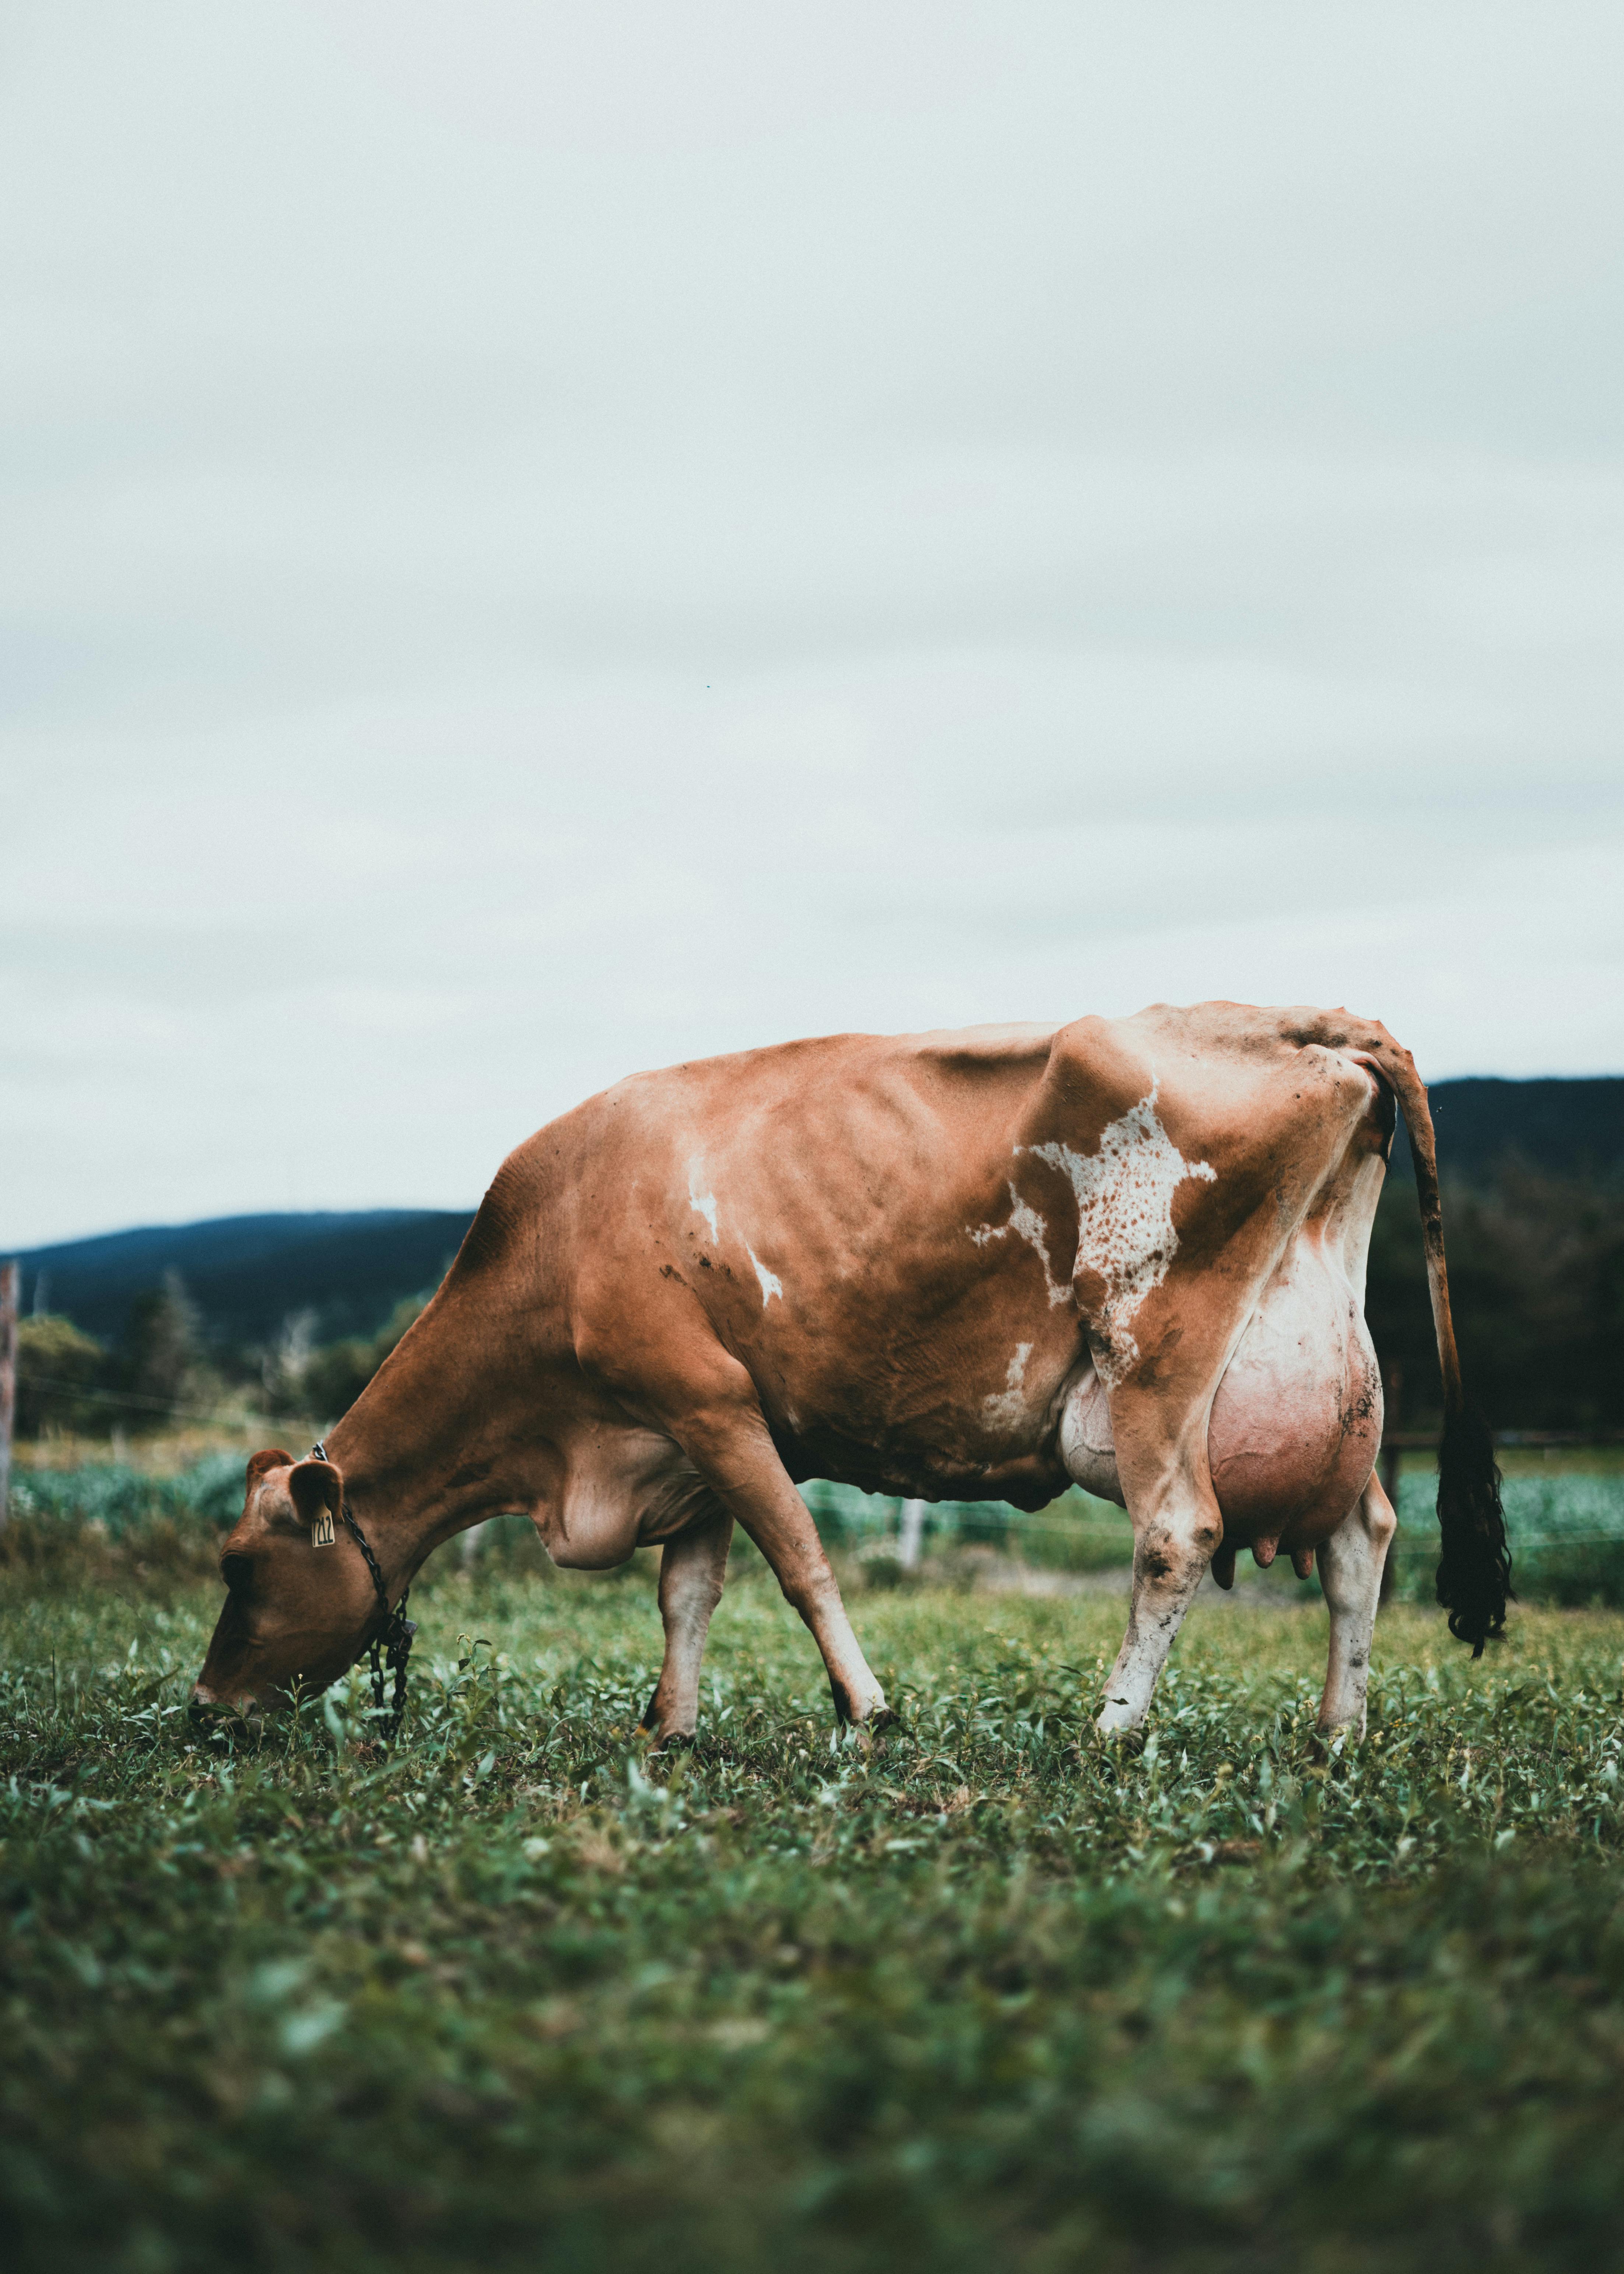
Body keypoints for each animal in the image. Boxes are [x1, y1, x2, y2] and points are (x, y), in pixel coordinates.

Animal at [193, 1001, 1510, 1745]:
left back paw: (1112, 1727)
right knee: (1359, 1536)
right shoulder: (682, 1446)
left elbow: (801, 1563)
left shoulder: (713, 1404)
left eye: (241, 1569)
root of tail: (1301, 1015)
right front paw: (671, 1731)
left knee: (1175, 1533)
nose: (203, 1706)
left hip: (1153, 1363)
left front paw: (869, 1709)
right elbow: (687, 1593)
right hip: (1321, 1376)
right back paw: (1337, 1732)